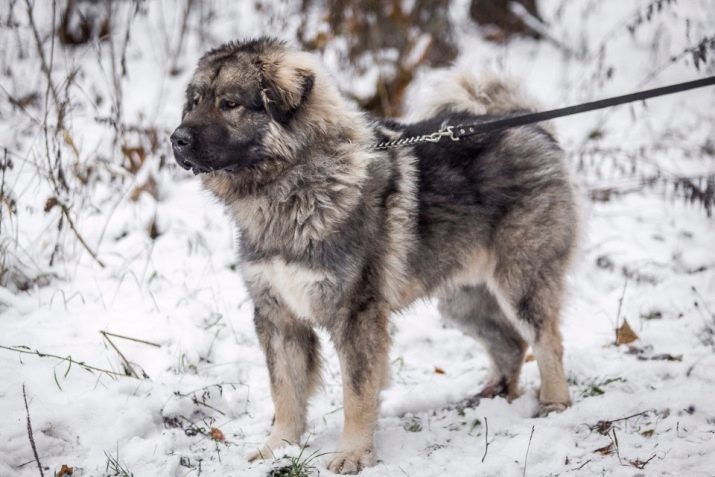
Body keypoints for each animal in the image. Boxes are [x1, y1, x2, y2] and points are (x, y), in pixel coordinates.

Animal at [172, 36, 580, 472]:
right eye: (194, 101)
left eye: (230, 103)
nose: (176, 139)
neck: (292, 186)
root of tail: (531, 125)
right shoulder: (278, 315)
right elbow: (285, 391)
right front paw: (277, 447)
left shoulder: (356, 314)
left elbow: (356, 393)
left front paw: (352, 453)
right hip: (461, 298)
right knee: (511, 344)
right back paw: (495, 396)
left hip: (521, 280)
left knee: (546, 340)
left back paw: (554, 403)